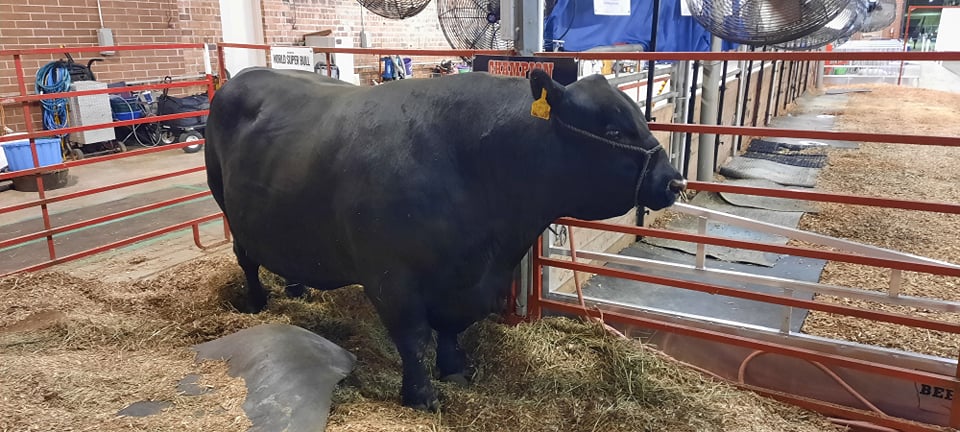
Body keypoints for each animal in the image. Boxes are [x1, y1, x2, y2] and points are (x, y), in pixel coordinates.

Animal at [204, 66, 686, 411]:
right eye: (613, 131)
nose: (674, 181)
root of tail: (242, 76)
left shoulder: (471, 280)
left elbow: (452, 329)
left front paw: (455, 370)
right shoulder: (390, 276)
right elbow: (415, 337)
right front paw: (421, 395)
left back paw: (297, 288)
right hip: (228, 207)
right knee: (246, 259)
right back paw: (256, 302)